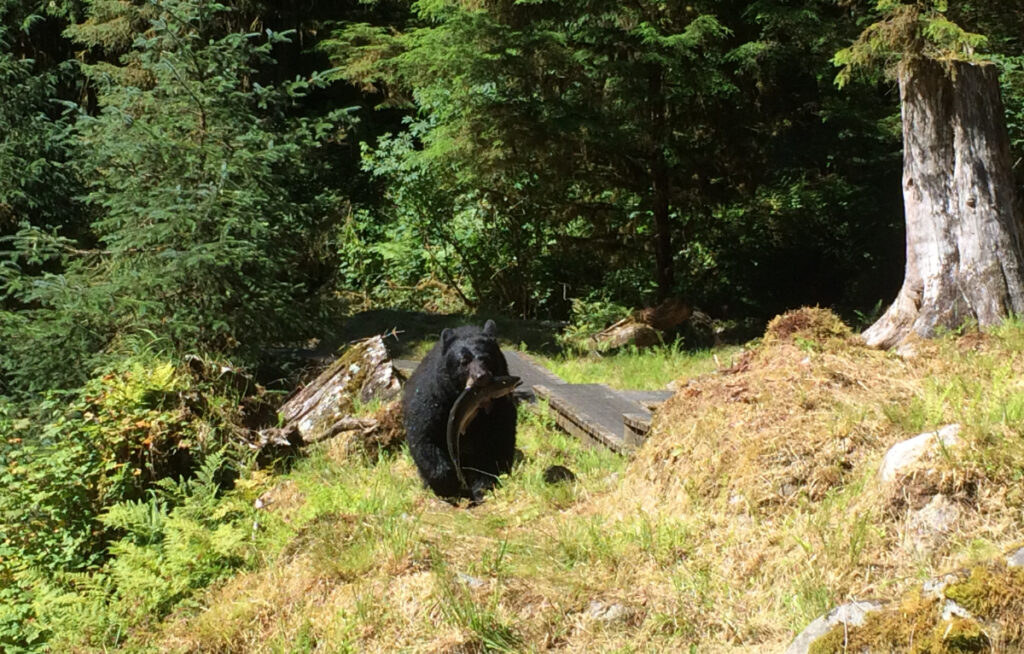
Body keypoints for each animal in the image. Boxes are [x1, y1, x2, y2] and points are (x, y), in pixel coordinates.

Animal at [402, 320, 517, 502]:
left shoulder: (500, 405)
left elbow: (500, 437)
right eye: (464, 361)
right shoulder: (435, 396)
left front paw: (483, 484)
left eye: (486, 358)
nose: (481, 376)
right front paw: (447, 484)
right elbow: (423, 433)